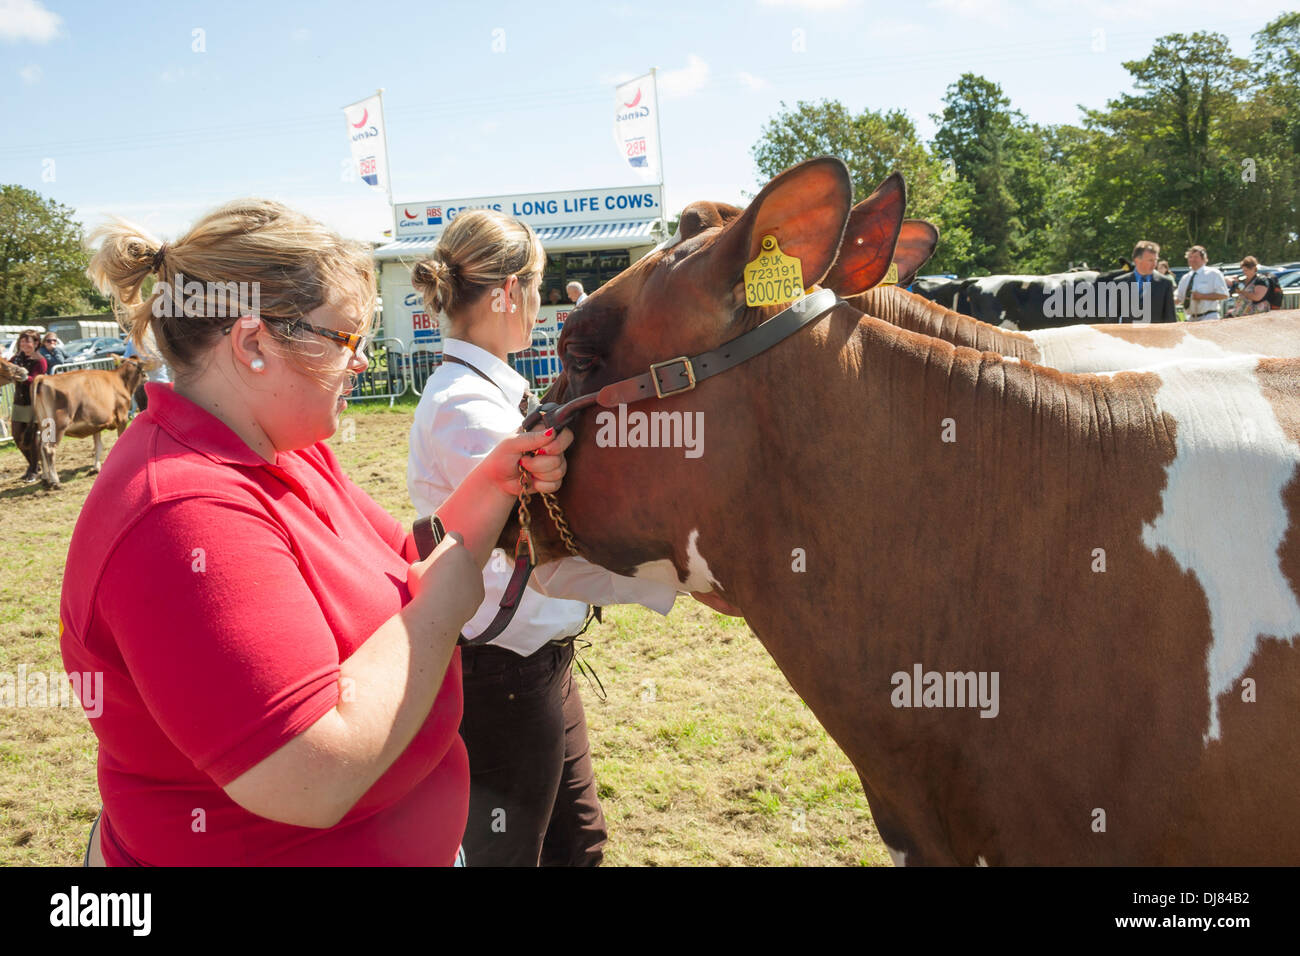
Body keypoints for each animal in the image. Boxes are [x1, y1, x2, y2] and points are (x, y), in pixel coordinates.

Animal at [31, 356, 146, 489]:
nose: (147, 377)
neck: (120, 380)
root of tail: (44, 378)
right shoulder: (122, 416)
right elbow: (119, 440)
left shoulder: (96, 425)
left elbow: (98, 445)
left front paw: (96, 468)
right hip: (59, 425)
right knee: (49, 448)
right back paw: (55, 481)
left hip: (44, 425)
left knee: (40, 446)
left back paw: (45, 478)